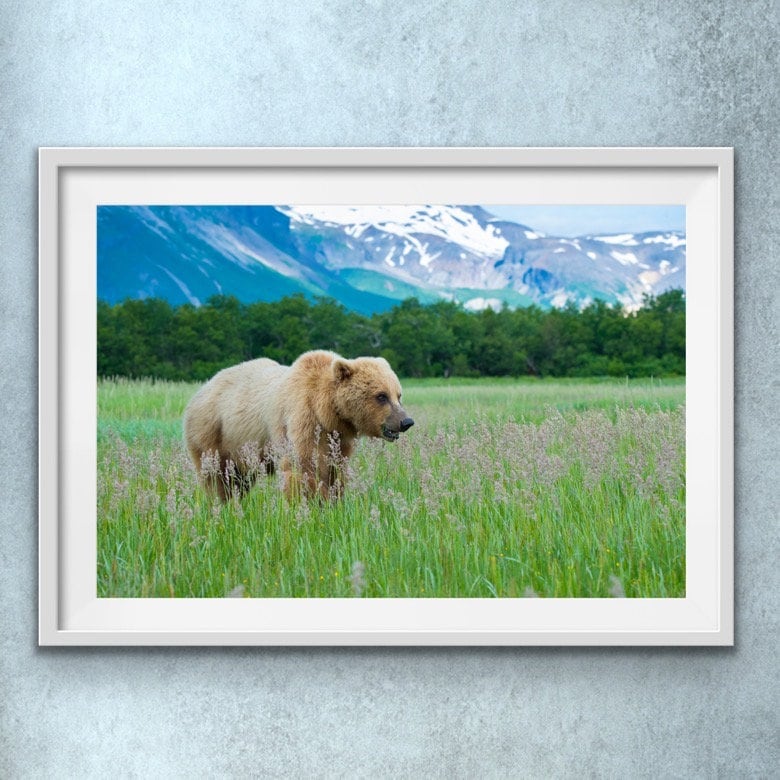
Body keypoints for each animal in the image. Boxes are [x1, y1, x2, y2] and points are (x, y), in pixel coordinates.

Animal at [183, 350, 414, 501]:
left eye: (398, 395)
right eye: (381, 396)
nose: (406, 421)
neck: (327, 411)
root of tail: (202, 389)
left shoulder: (338, 437)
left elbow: (336, 470)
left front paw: (334, 499)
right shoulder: (301, 418)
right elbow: (302, 467)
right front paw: (312, 502)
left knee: (239, 480)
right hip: (213, 434)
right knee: (217, 478)